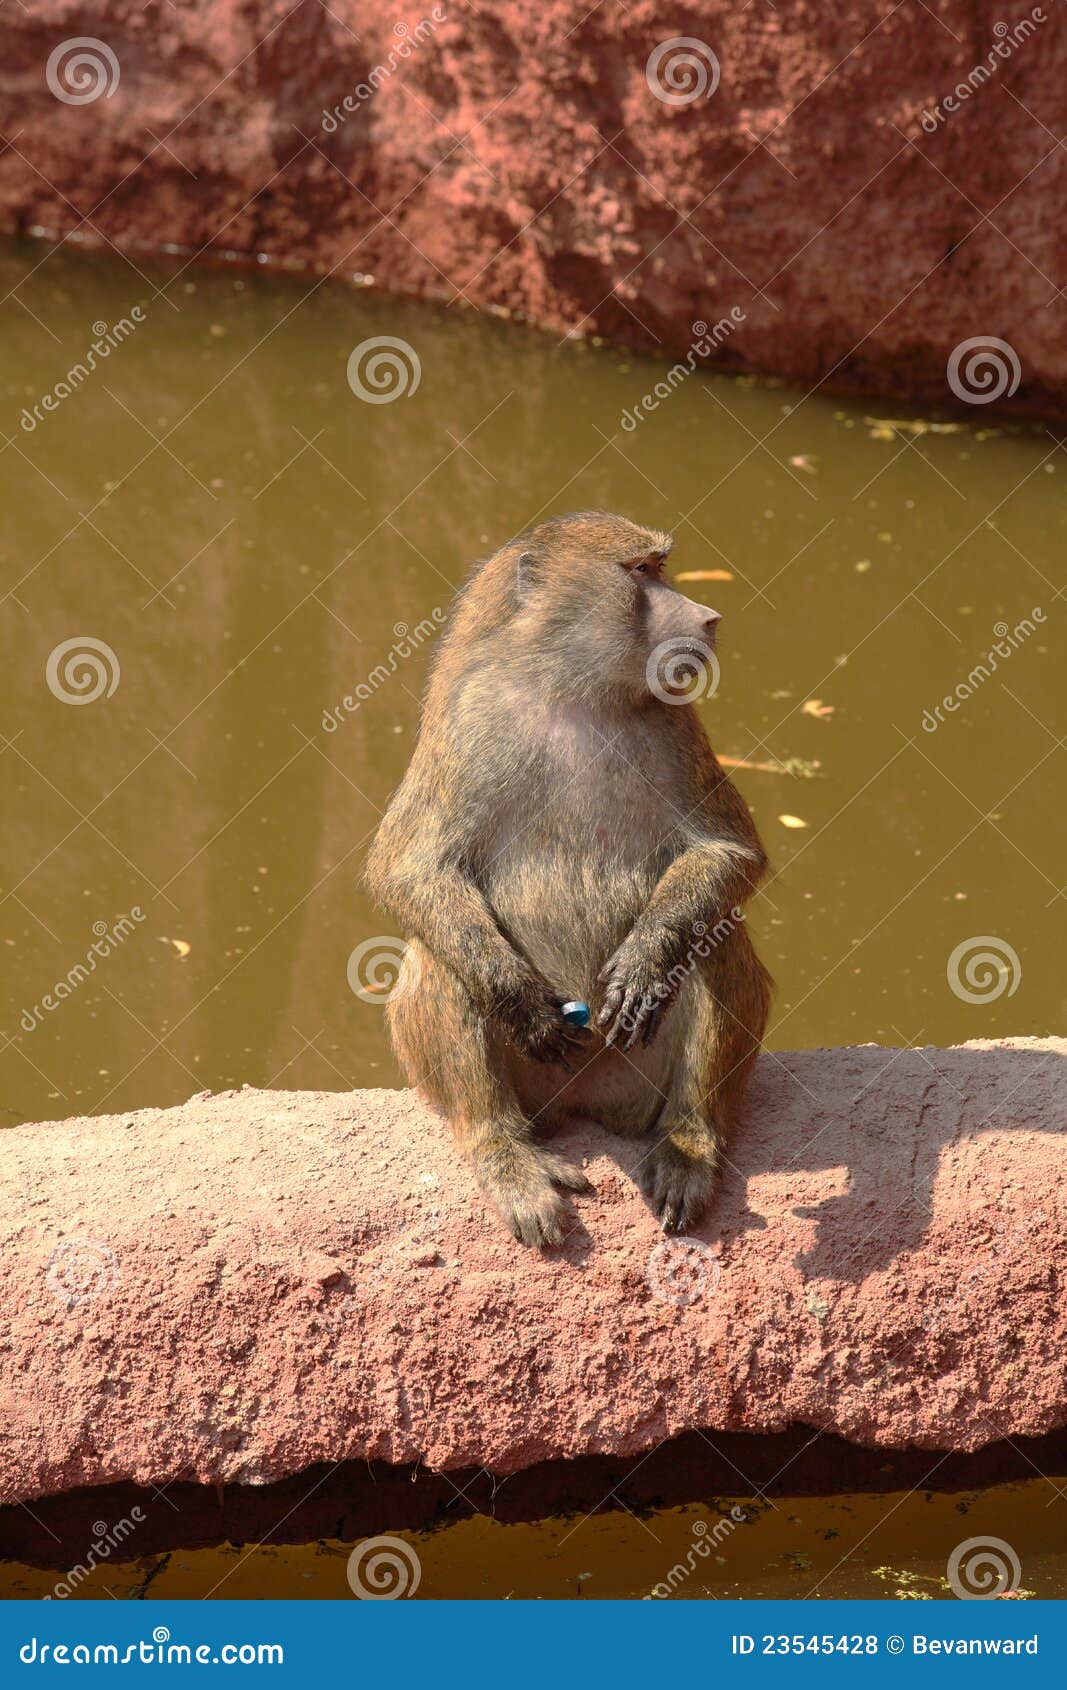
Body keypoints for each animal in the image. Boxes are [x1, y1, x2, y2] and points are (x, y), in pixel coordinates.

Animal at [365, 511, 772, 1248]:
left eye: (659, 567)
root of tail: (582, 1101)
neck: (570, 692)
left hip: (638, 1085)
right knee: (440, 956)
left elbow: (729, 853)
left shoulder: (678, 724)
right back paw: (504, 1154)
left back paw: (689, 1146)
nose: (707, 617)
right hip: (531, 1087)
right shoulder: (467, 718)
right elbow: (409, 867)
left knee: (716, 933)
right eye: (641, 571)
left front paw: (645, 962)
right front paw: (518, 999)